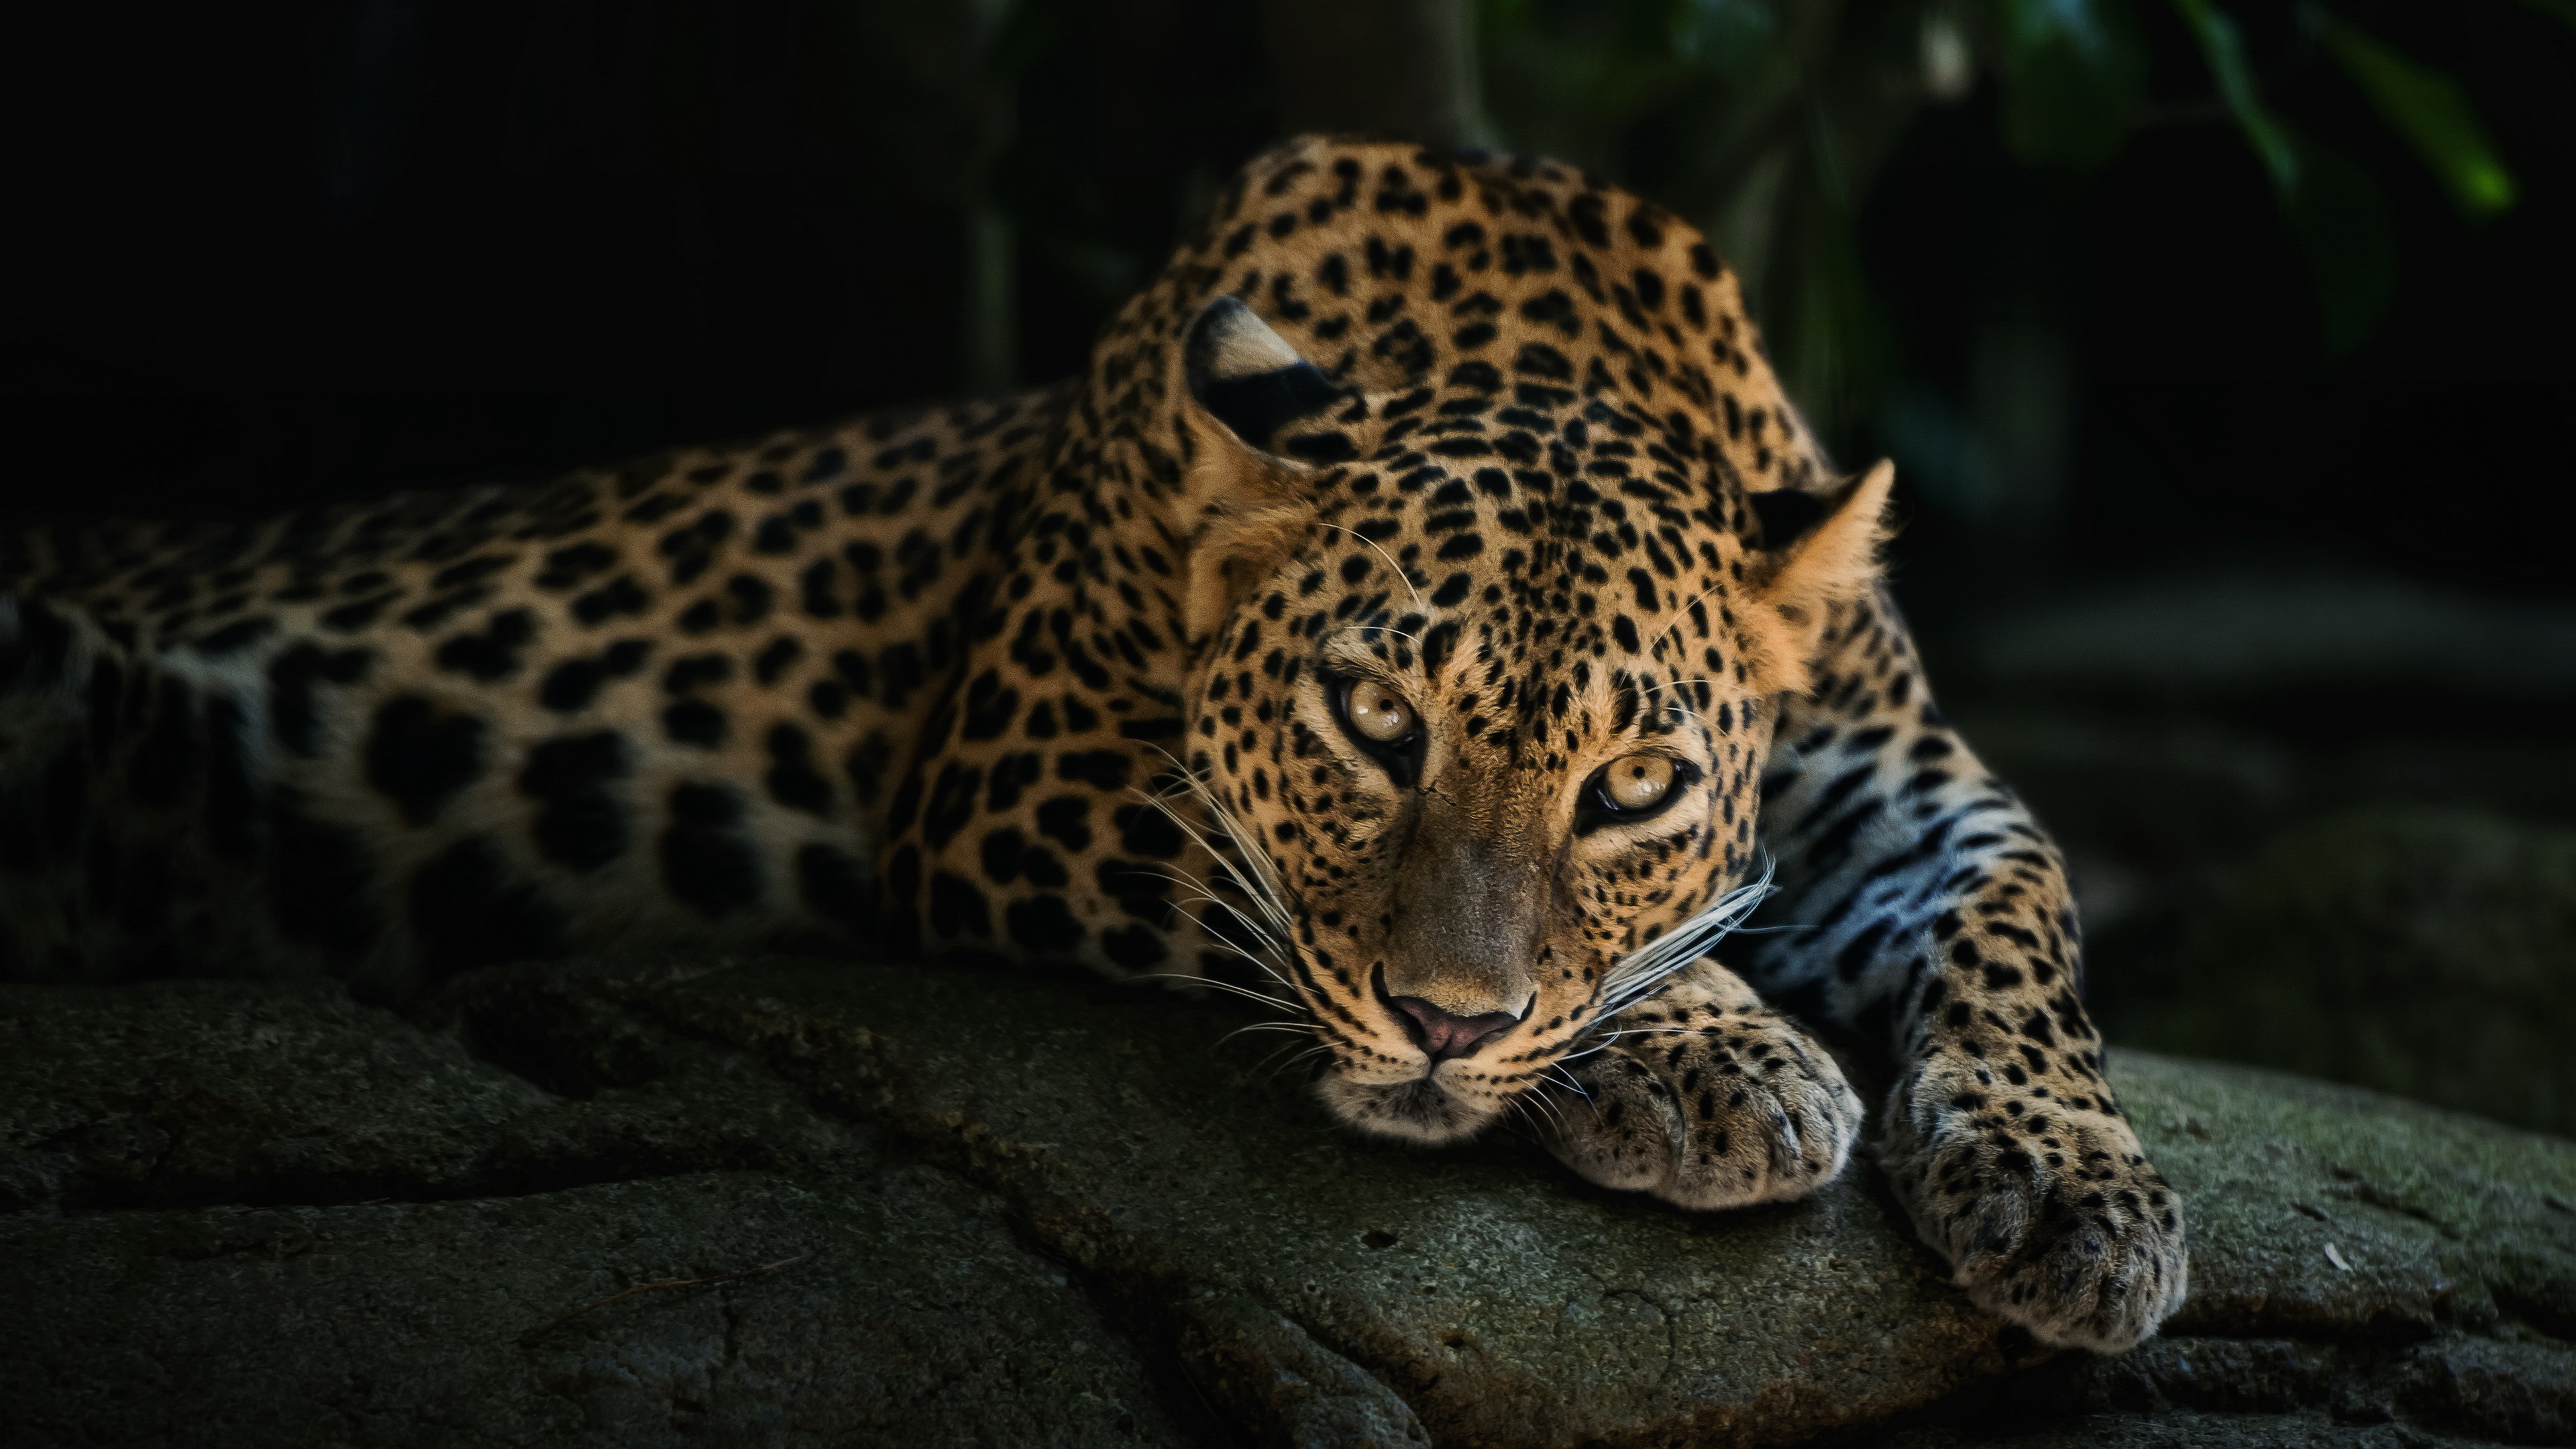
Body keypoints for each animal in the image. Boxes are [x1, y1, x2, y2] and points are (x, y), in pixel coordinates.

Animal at [0, 135, 2186, 1353]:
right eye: (1369, 720)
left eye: (1632, 785)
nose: (1448, 1030)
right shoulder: (1013, 775)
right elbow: (1280, 895)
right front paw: (1722, 1055)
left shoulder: (1911, 790)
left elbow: (2026, 925)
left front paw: (2075, 1192)